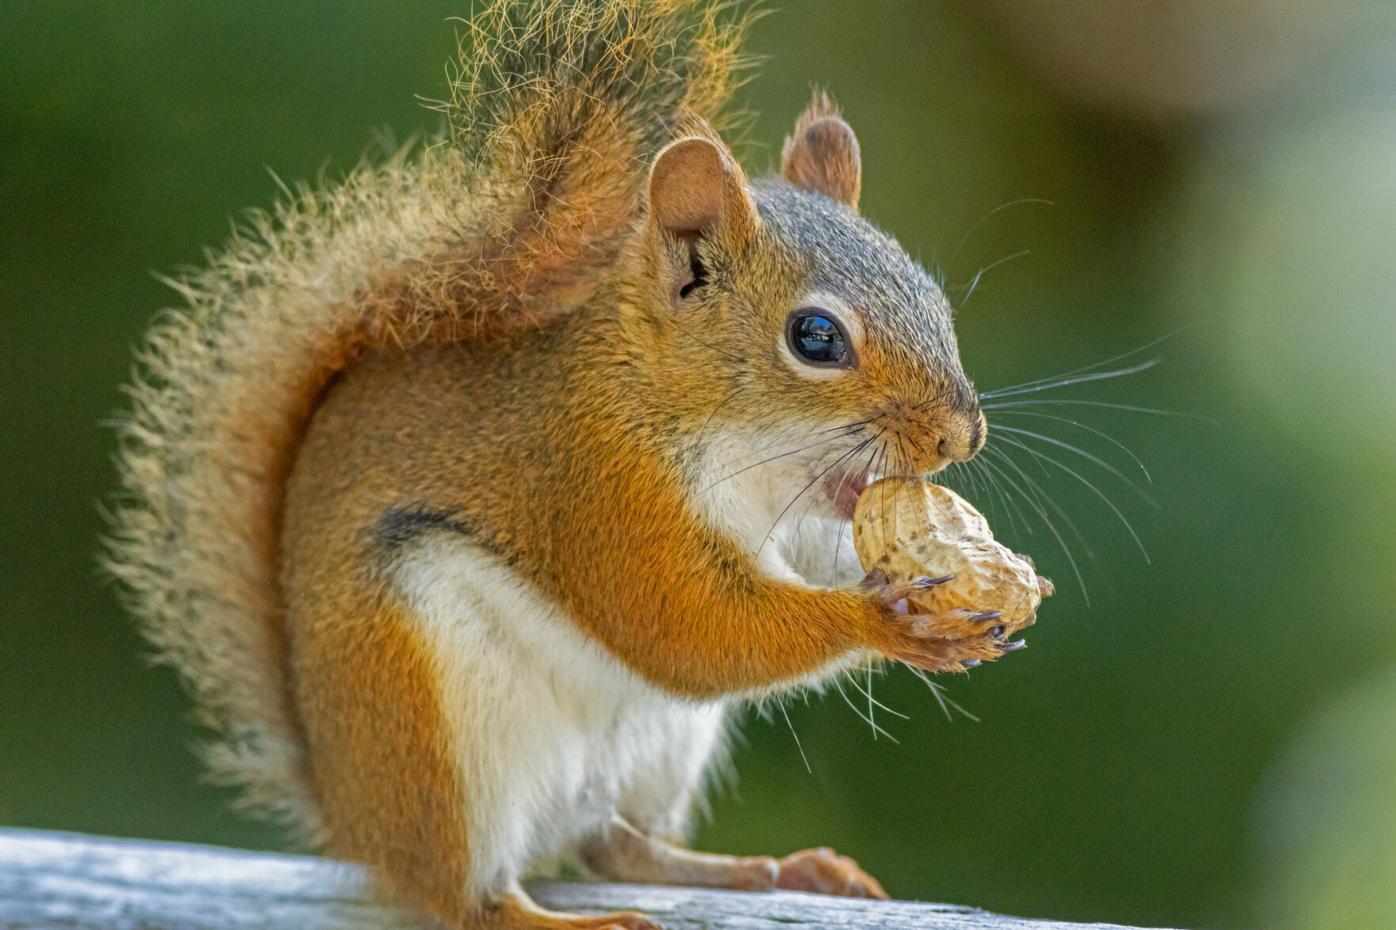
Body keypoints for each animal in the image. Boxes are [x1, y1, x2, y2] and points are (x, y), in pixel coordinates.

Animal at [106, 1, 1010, 928]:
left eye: (932, 297)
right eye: (816, 337)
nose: (960, 438)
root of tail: (354, 820)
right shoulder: (597, 483)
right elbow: (687, 629)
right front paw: (888, 618)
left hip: (657, 750)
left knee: (618, 846)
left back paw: (769, 872)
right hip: (441, 727)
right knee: (468, 895)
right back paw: (572, 913)